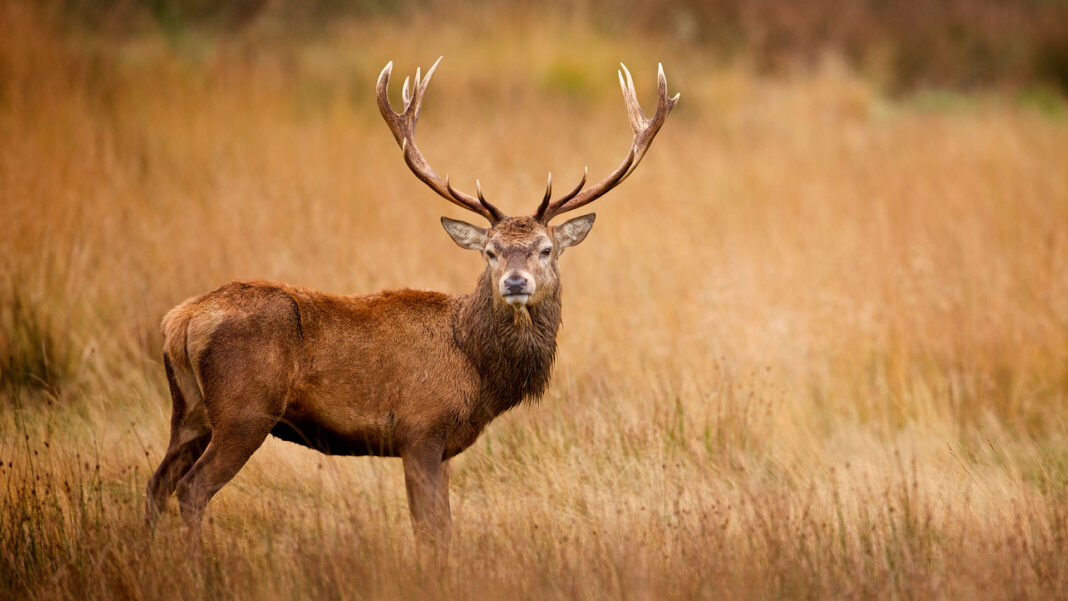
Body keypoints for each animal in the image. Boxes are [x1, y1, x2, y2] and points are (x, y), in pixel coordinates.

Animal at [144, 57, 678, 547]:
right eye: (490, 251)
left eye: (545, 249)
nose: (515, 282)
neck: (477, 369)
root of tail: (180, 322)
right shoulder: (420, 429)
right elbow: (429, 531)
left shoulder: (443, 448)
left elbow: (445, 529)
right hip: (244, 410)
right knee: (192, 490)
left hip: (189, 411)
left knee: (156, 484)